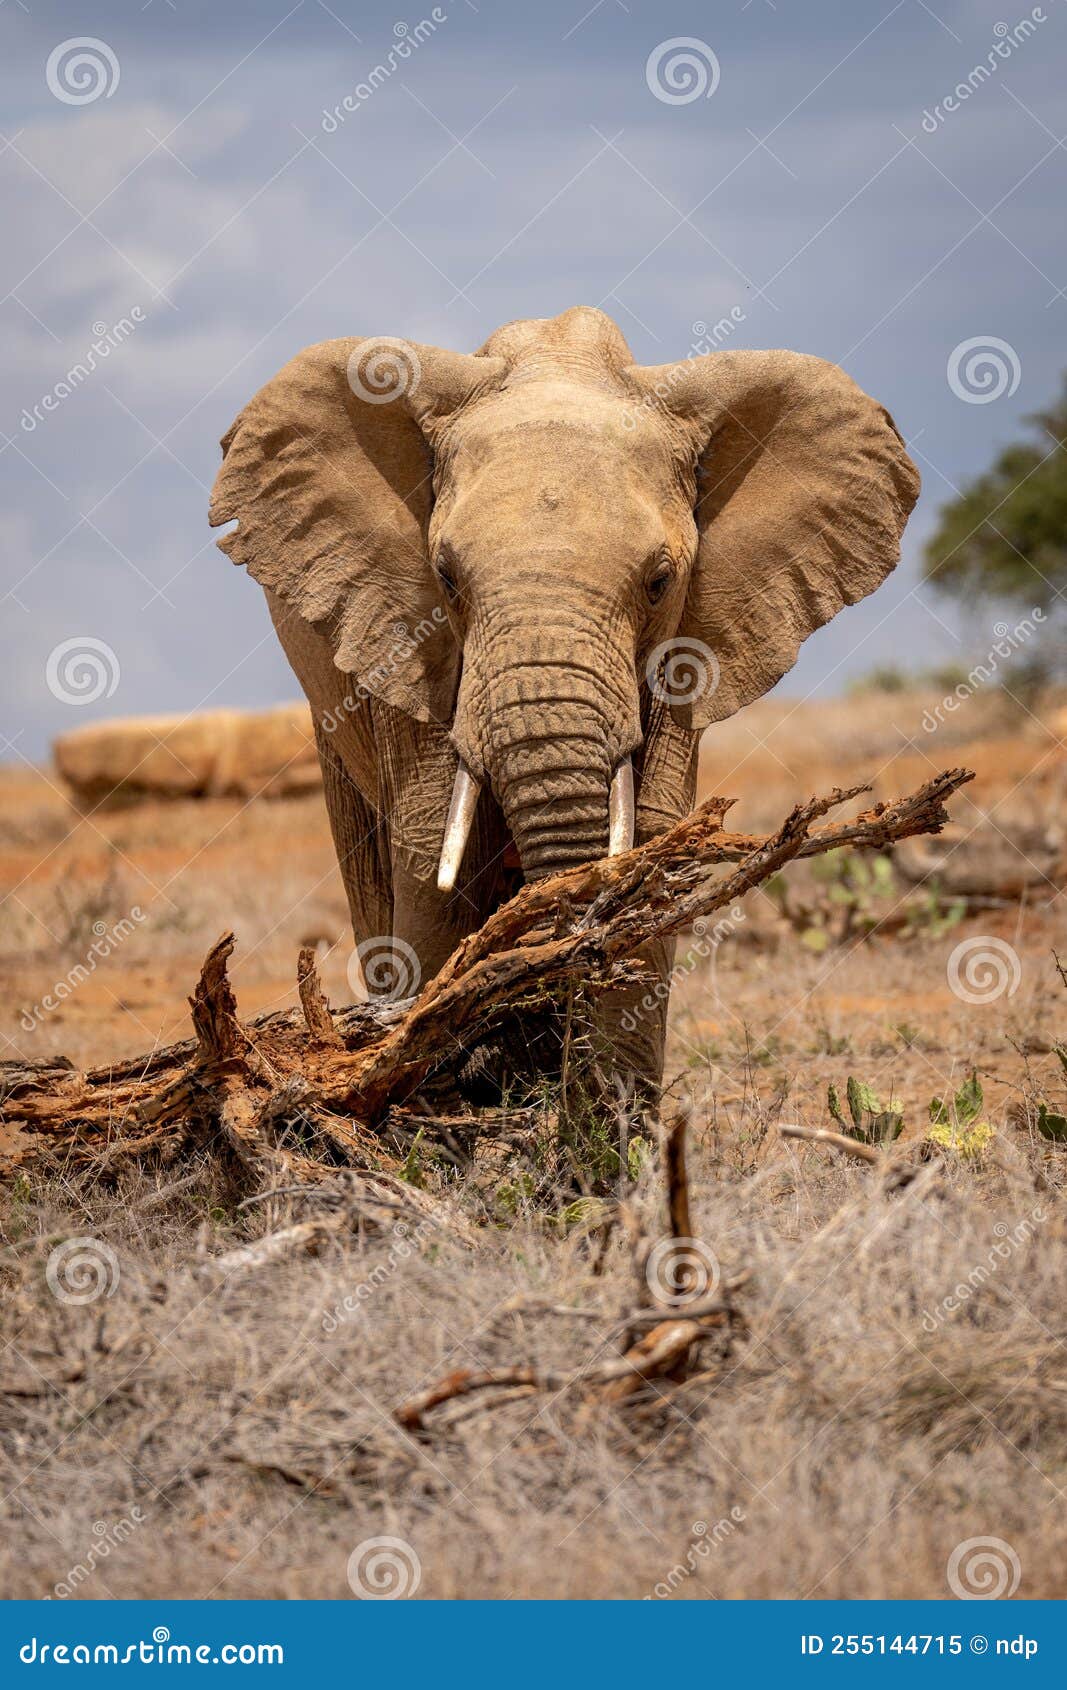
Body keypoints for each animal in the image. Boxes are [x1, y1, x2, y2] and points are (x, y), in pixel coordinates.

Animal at [209, 306, 918, 1099]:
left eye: (658, 582)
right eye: (445, 577)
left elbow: (651, 843)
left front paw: (606, 1129)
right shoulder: (410, 642)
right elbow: (434, 862)